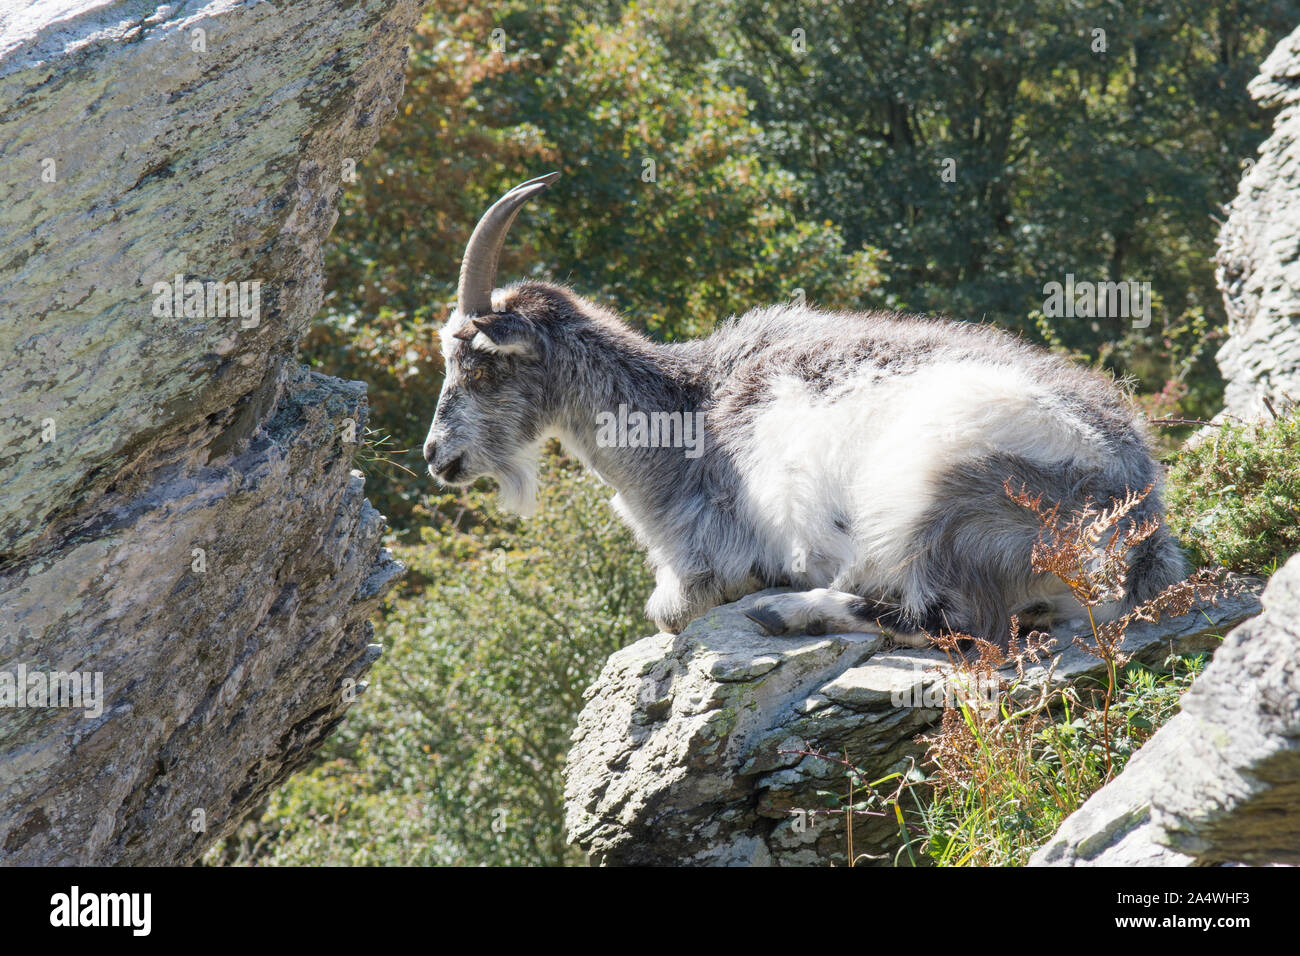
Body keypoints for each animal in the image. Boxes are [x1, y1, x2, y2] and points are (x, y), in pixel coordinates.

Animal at [423, 173, 1187, 645]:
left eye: (478, 363)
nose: (436, 457)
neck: (686, 408)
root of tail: (1135, 514)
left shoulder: (710, 563)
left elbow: (667, 610)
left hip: (940, 497)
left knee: (958, 623)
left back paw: (785, 612)